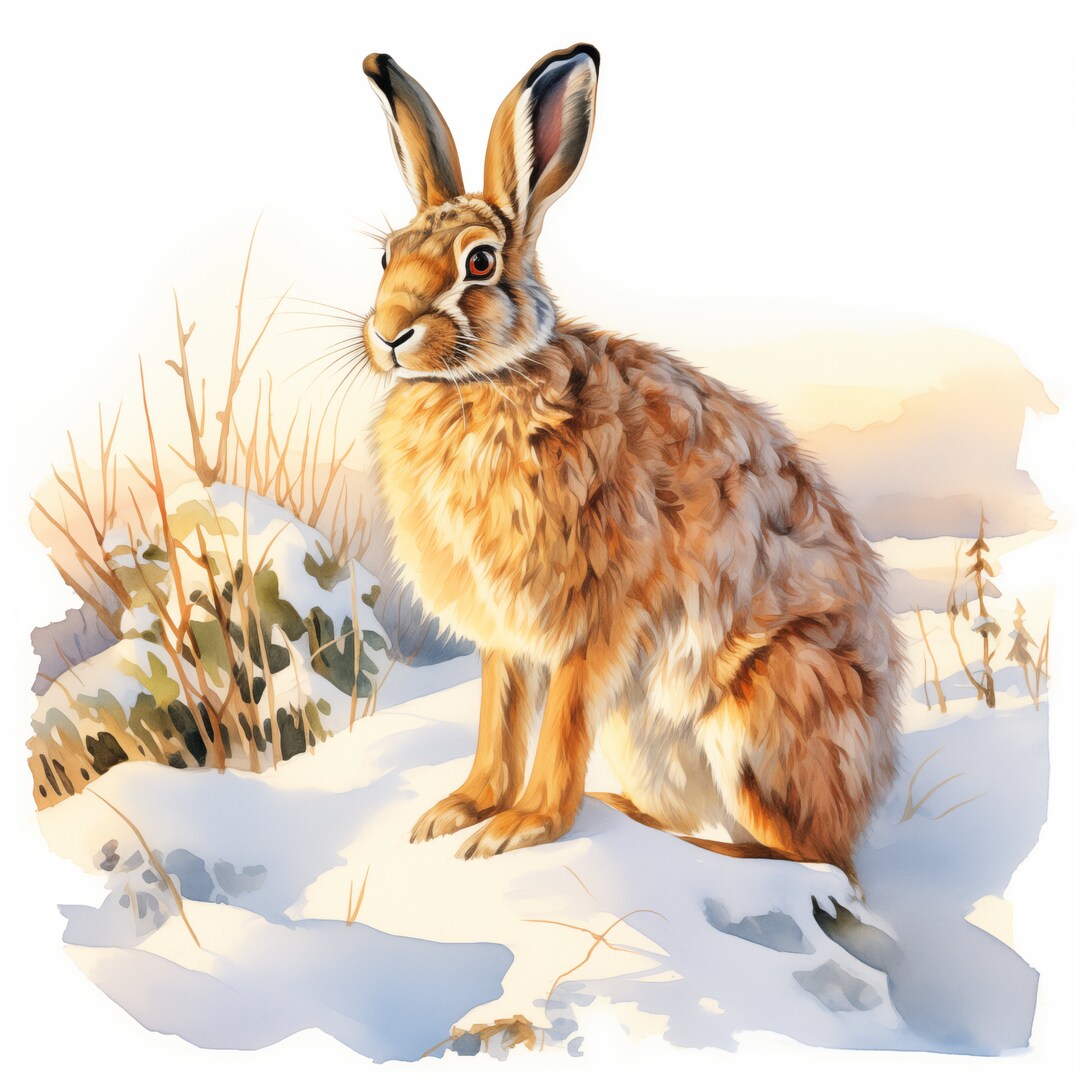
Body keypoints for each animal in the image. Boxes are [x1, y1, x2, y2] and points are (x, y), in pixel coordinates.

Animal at [360, 44, 904, 881]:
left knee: (806, 861)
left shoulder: (596, 619)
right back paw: (623, 811)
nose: (389, 333)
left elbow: (559, 726)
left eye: (479, 264)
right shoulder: (506, 636)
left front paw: (521, 828)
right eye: (386, 256)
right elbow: (497, 716)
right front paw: (460, 810)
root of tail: (865, 798)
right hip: (651, 742)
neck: (487, 382)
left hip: (761, 712)